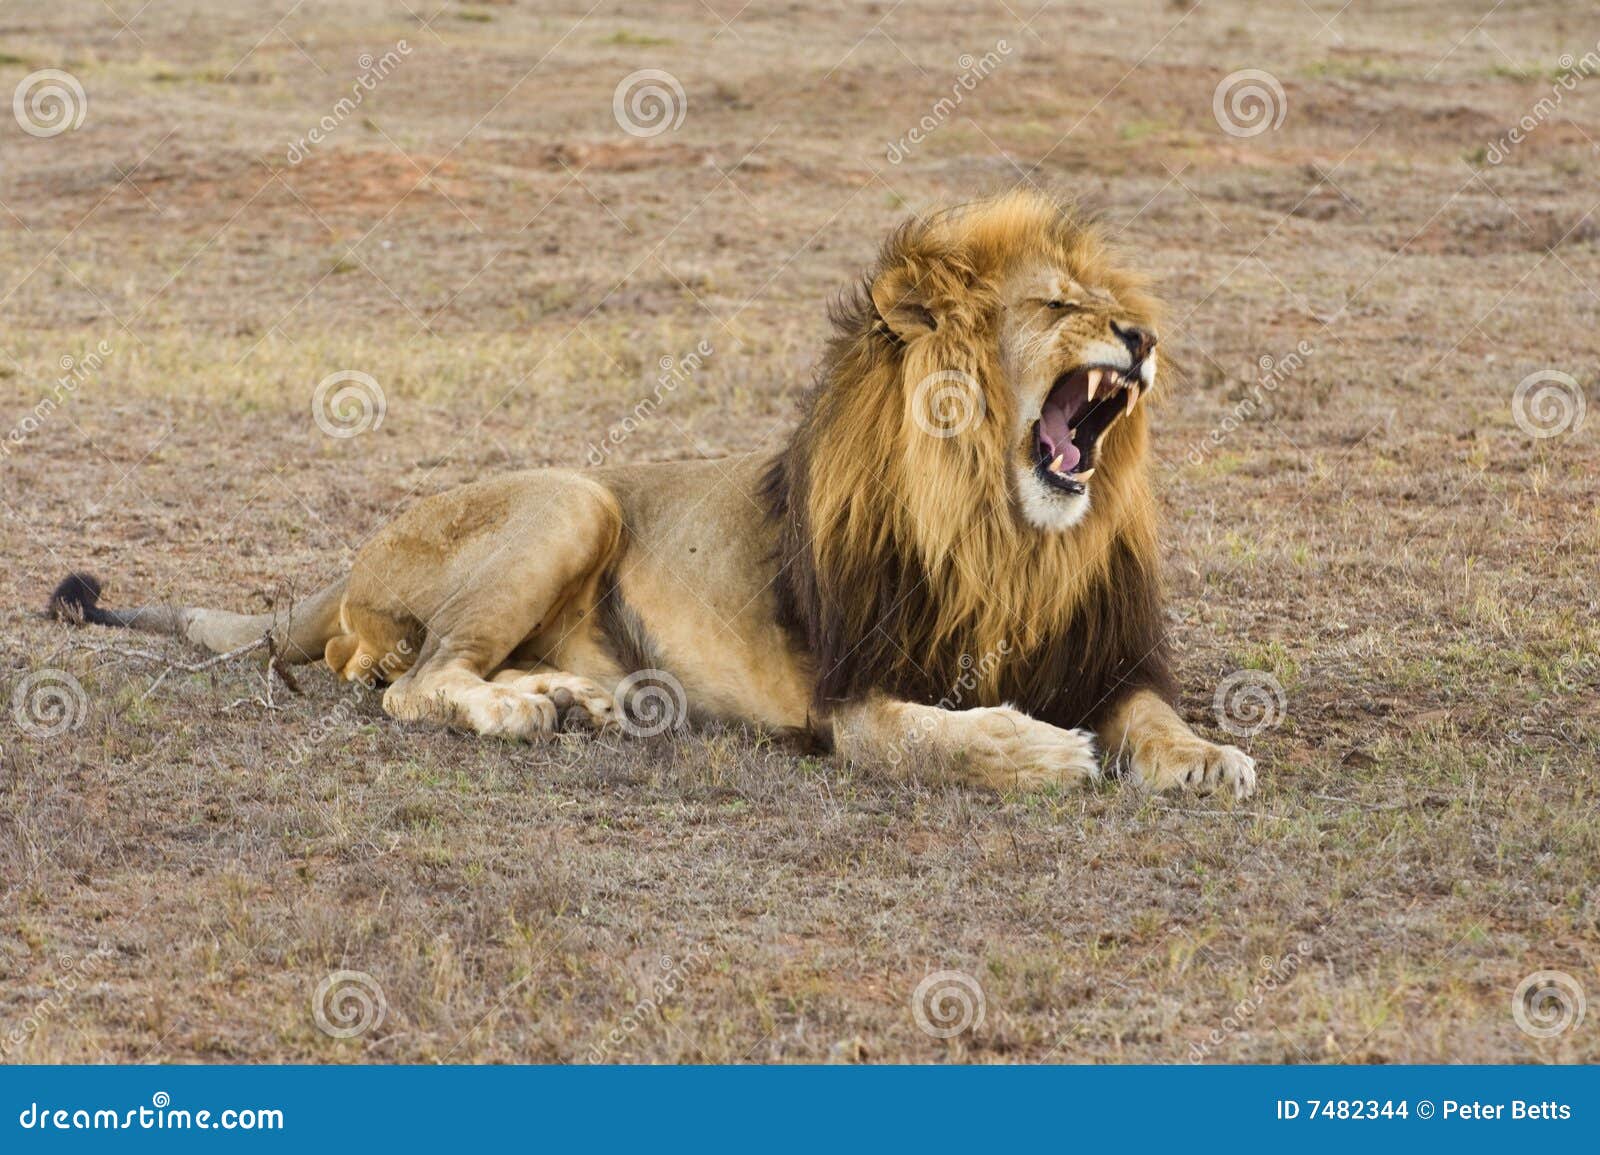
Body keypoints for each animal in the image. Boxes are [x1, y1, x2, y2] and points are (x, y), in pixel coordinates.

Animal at [50, 189, 1256, 798]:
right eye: (1059, 305)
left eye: (1112, 303)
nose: (1143, 338)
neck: (1009, 533)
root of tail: (347, 562)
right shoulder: (852, 699)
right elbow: (938, 737)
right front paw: (1046, 751)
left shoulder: (1103, 653)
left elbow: (1151, 714)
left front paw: (1206, 758)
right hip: (572, 498)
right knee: (413, 683)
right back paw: (518, 710)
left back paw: (582, 699)